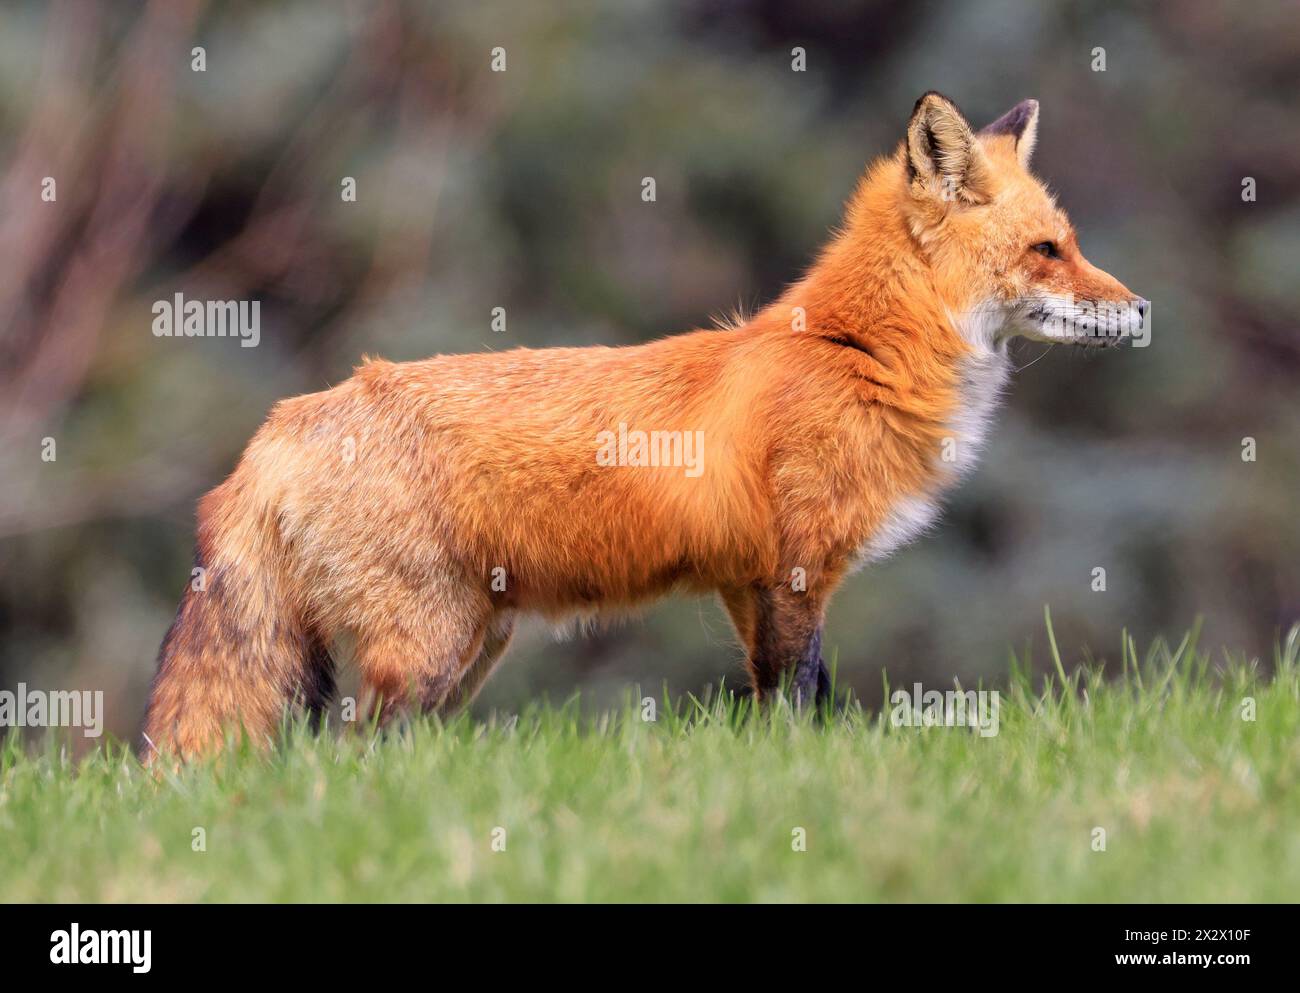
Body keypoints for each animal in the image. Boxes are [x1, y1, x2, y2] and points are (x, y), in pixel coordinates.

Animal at [143, 93, 1147, 760]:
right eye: (1048, 250)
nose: (1142, 309)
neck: (855, 348)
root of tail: (281, 424)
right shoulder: (795, 572)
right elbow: (800, 700)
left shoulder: (748, 581)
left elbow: (789, 694)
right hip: (429, 645)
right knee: (353, 756)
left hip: (471, 645)